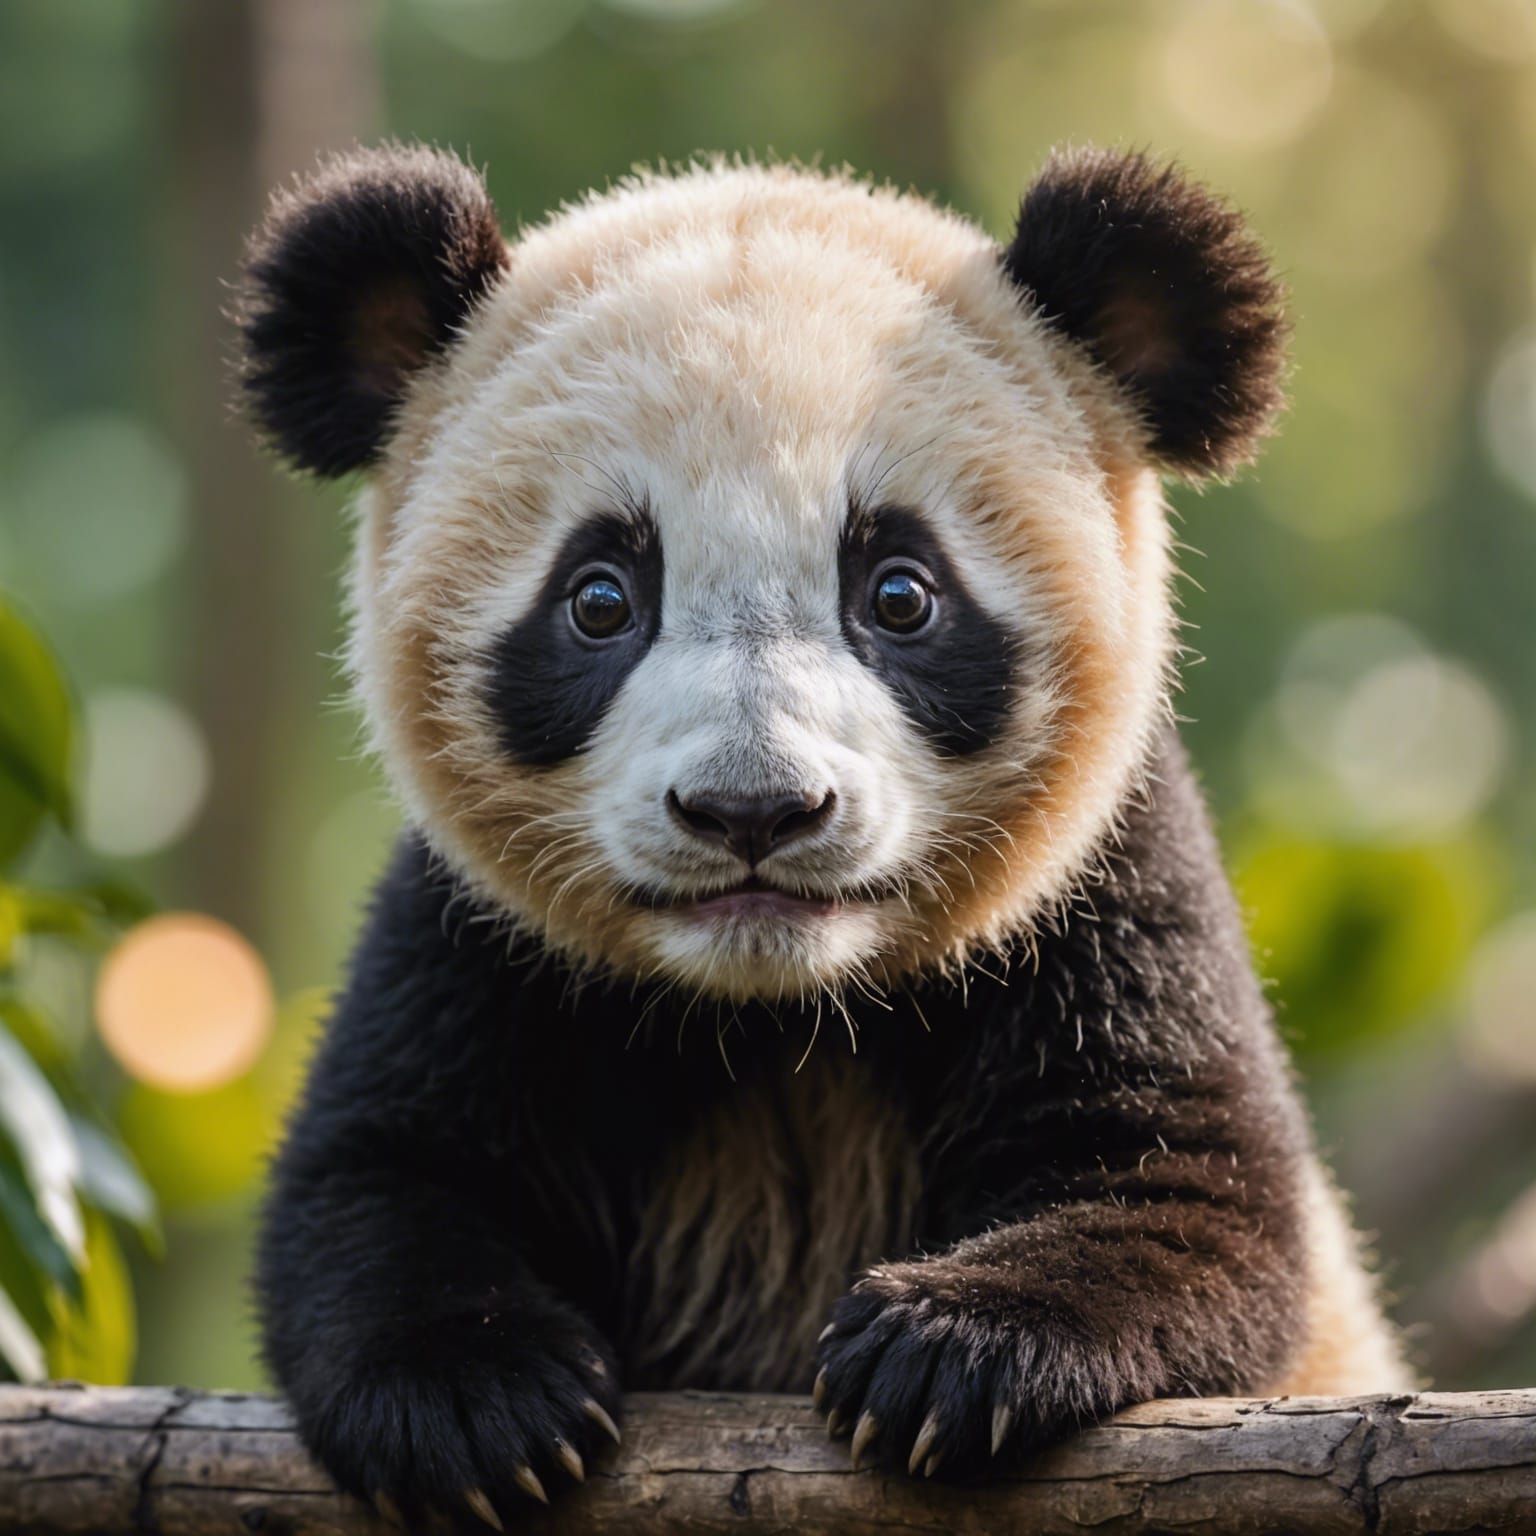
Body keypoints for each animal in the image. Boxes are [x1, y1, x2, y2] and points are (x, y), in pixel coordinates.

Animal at [238, 143, 1410, 1526]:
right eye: (600, 598)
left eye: (898, 592)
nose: (754, 810)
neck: (782, 1014)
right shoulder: (483, 942)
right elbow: (373, 1181)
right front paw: (481, 1402)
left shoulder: (1107, 889)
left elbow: (1185, 1186)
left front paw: (949, 1348)